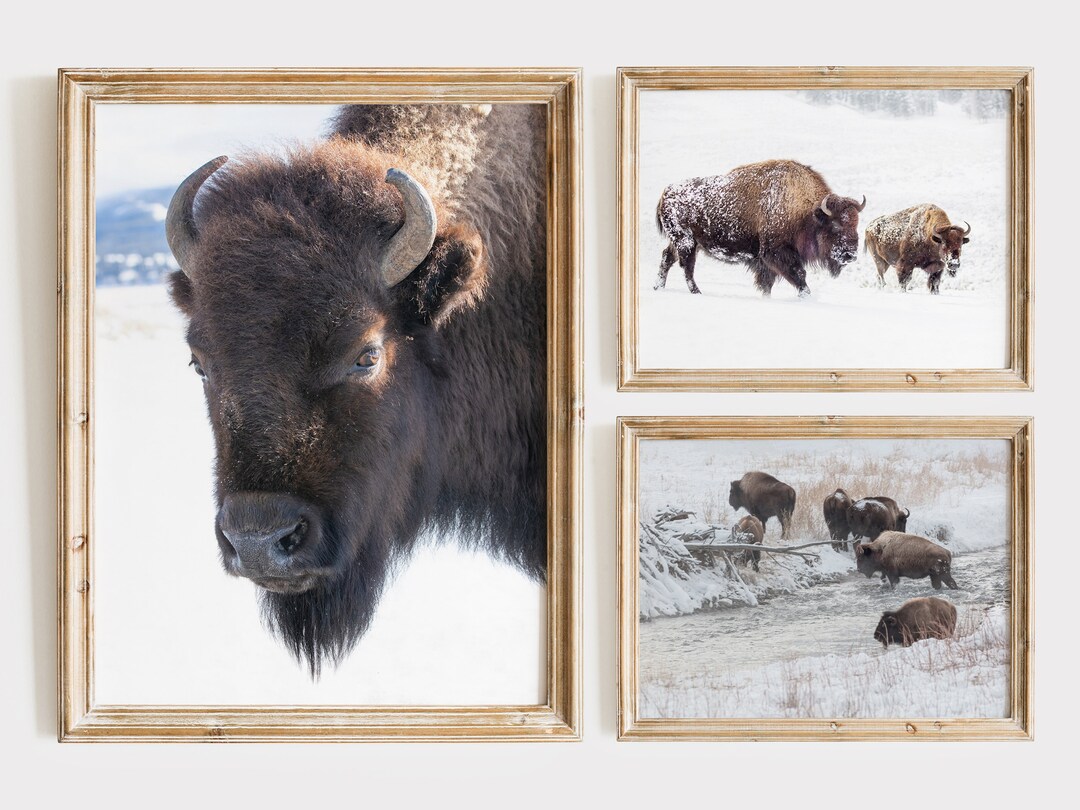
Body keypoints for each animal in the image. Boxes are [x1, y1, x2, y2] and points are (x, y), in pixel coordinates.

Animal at [654, 159, 866, 296]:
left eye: (856, 224)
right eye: (835, 225)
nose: (850, 255)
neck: (804, 210)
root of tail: (666, 192)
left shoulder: (765, 263)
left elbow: (767, 284)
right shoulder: (775, 254)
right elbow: (799, 275)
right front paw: (806, 296)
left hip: (686, 243)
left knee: (667, 258)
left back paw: (658, 288)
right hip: (686, 242)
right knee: (687, 267)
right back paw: (696, 292)